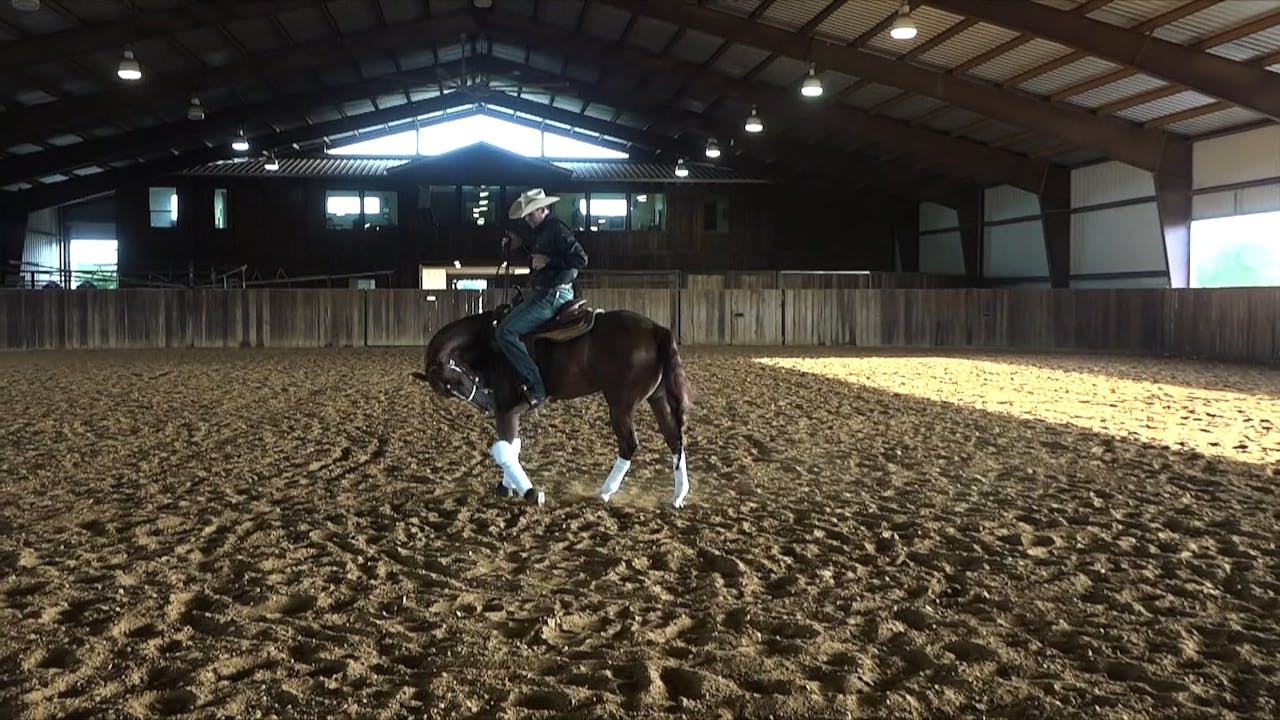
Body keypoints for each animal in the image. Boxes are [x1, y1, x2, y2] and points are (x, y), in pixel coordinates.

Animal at [412, 297, 693, 508]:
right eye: (447, 389)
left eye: (451, 382)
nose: (484, 402)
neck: (487, 340)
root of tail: (655, 329)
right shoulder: (511, 411)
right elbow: (512, 446)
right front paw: (507, 486)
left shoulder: (505, 408)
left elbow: (504, 449)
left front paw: (529, 492)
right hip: (657, 399)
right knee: (674, 439)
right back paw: (678, 495)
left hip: (620, 404)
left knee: (629, 444)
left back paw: (605, 491)